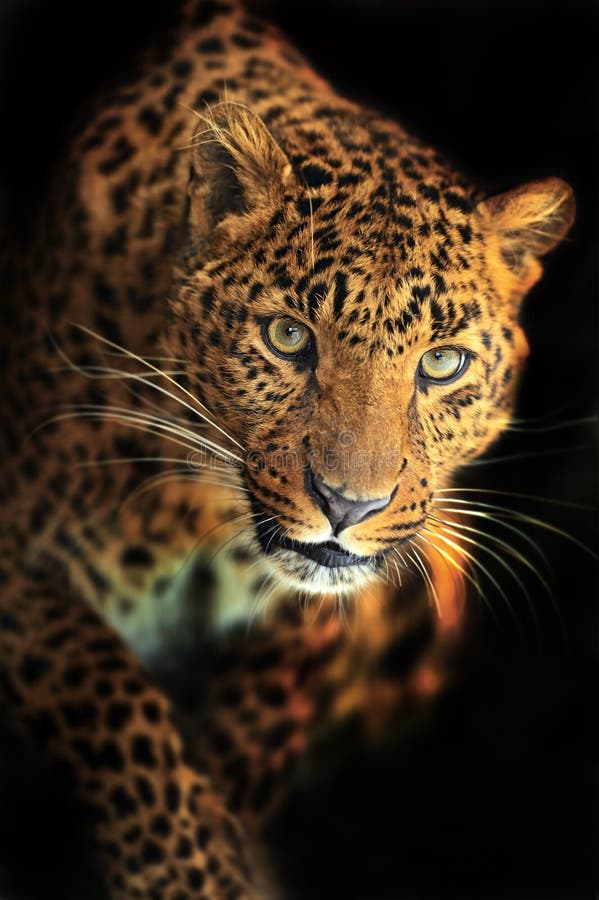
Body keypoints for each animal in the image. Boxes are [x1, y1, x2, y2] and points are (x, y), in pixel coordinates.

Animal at [0, 0, 575, 897]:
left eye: (441, 363)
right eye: (287, 337)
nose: (349, 506)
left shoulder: (316, 623)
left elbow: (246, 733)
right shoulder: (19, 561)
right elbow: (114, 698)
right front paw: (189, 874)